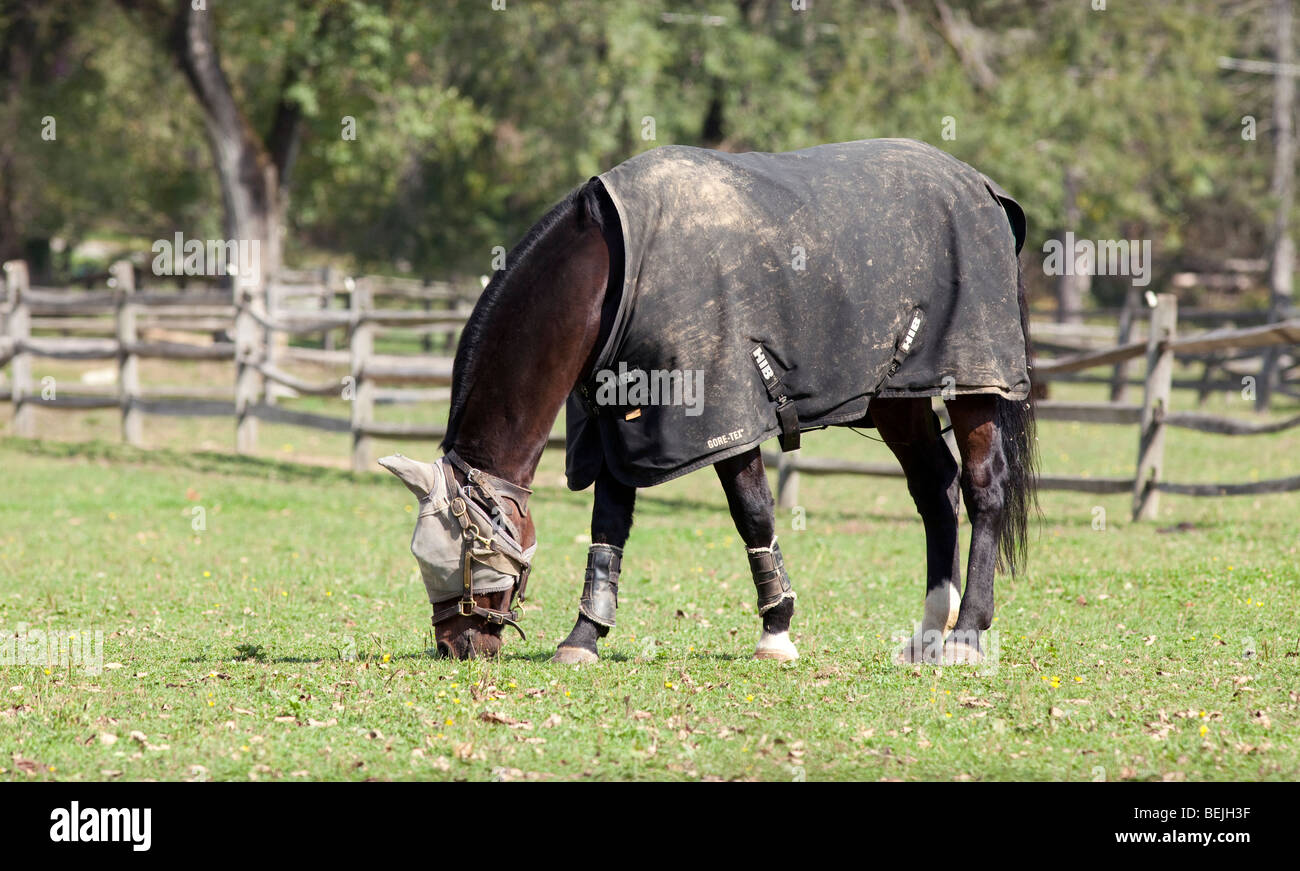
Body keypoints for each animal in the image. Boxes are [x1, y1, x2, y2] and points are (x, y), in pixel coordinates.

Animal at [380, 138, 1037, 665]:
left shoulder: (727, 416)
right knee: (934, 489)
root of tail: (984, 190)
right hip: (897, 398)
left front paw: (776, 632)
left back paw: (966, 635)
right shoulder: (622, 425)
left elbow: (754, 514)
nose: (456, 645)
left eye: (460, 553)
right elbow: (608, 527)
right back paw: (927, 634)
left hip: (974, 385)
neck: (618, 273)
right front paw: (584, 637)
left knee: (982, 488)